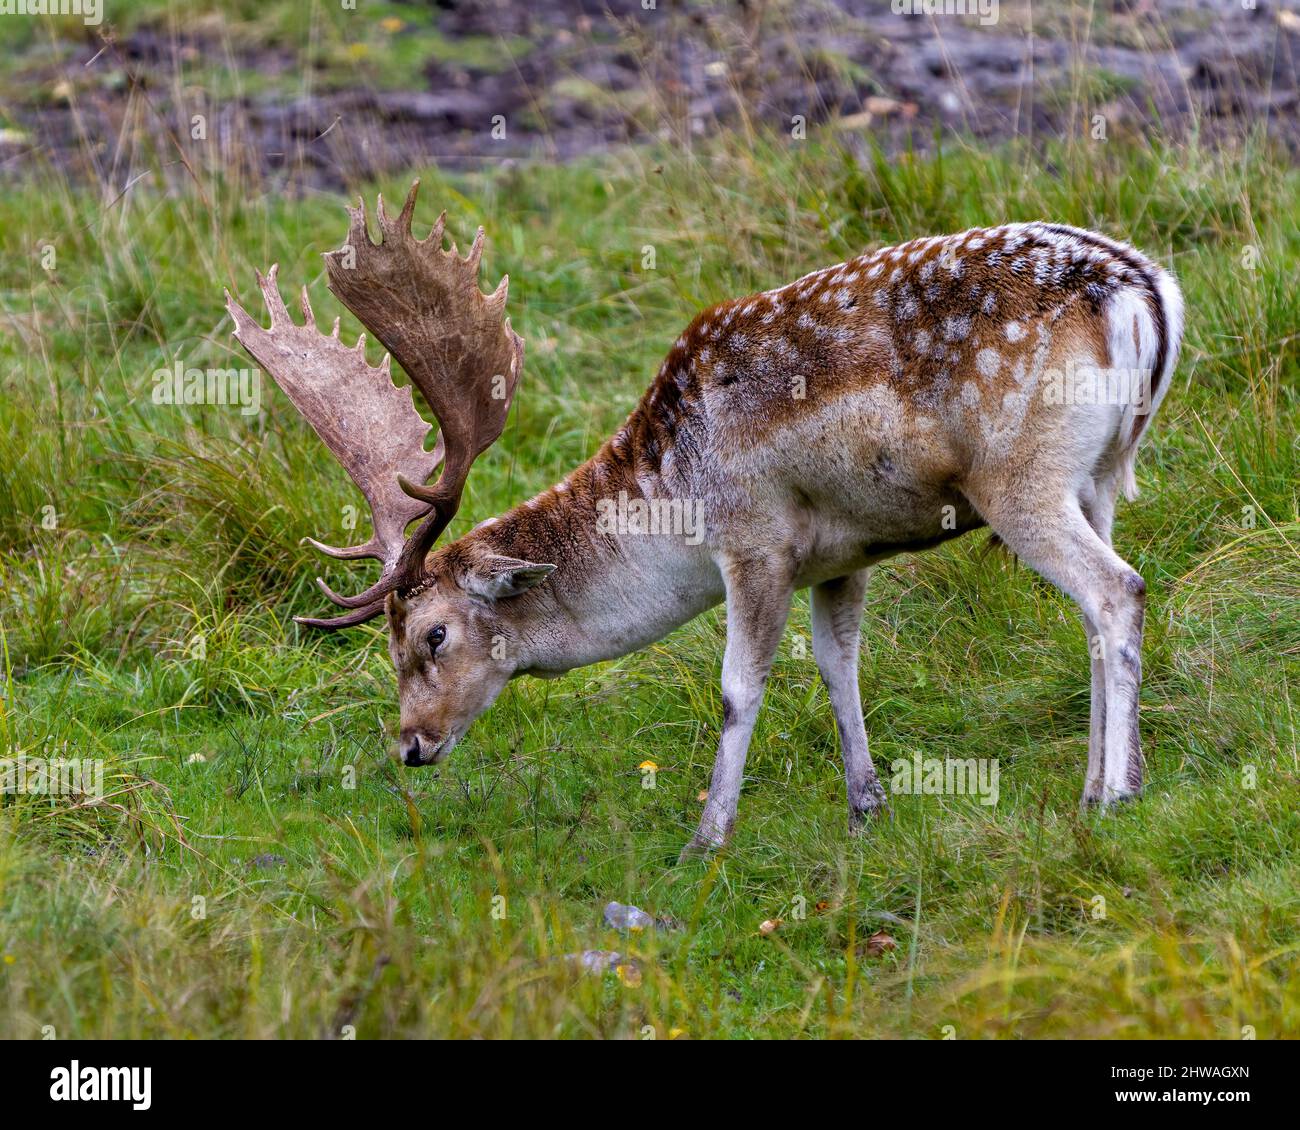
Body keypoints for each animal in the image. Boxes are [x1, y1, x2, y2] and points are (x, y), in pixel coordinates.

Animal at [225, 181, 1183, 857]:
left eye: (432, 635)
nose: (412, 746)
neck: (670, 493)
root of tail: (1146, 297)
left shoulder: (754, 539)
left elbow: (738, 688)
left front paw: (705, 838)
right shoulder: (844, 551)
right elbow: (838, 666)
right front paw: (865, 806)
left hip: (1020, 479)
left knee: (1116, 592)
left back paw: (1114, 795)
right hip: (1101, 476)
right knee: (1103, 604)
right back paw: (1106, 779)